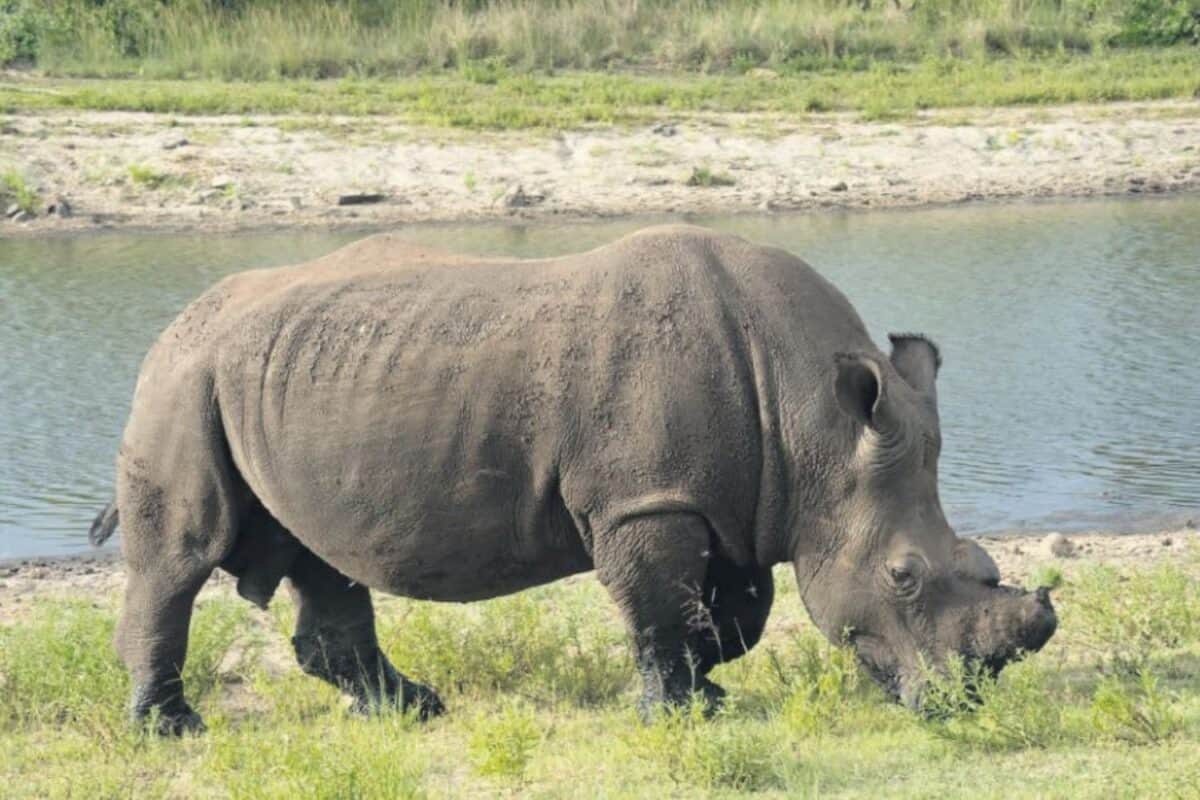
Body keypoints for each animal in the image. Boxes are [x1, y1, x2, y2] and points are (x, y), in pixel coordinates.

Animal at [88, 225, 1056, 734]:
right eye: (904, 577)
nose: (960, 707)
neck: (810, 418)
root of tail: (176, 323)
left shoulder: (737, 501)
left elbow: (738, 611)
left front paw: (710, 687)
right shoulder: (644, 501)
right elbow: (662, 608)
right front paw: (680, 715)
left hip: (280, 384)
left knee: (320, 554)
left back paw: (412, 712)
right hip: (183, 382)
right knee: (181, 557)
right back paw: (169, 729)